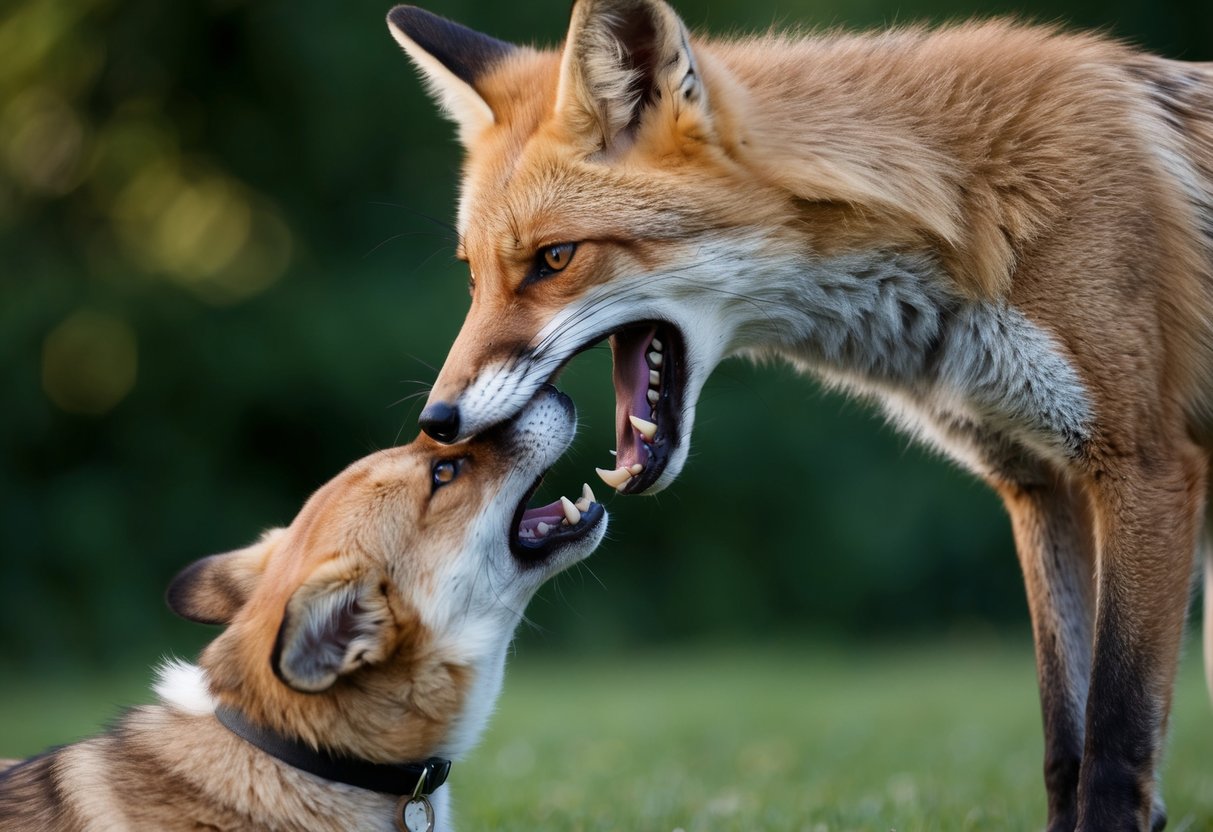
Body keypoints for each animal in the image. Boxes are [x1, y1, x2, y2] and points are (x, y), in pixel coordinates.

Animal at [384, 1, 1213, 830]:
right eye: (473, 275)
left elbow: (1114, 733)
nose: (437, 420)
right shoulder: (1036, 484)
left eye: (554, 259)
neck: (966, 202)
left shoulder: (1142, 469)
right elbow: (1062, 746)